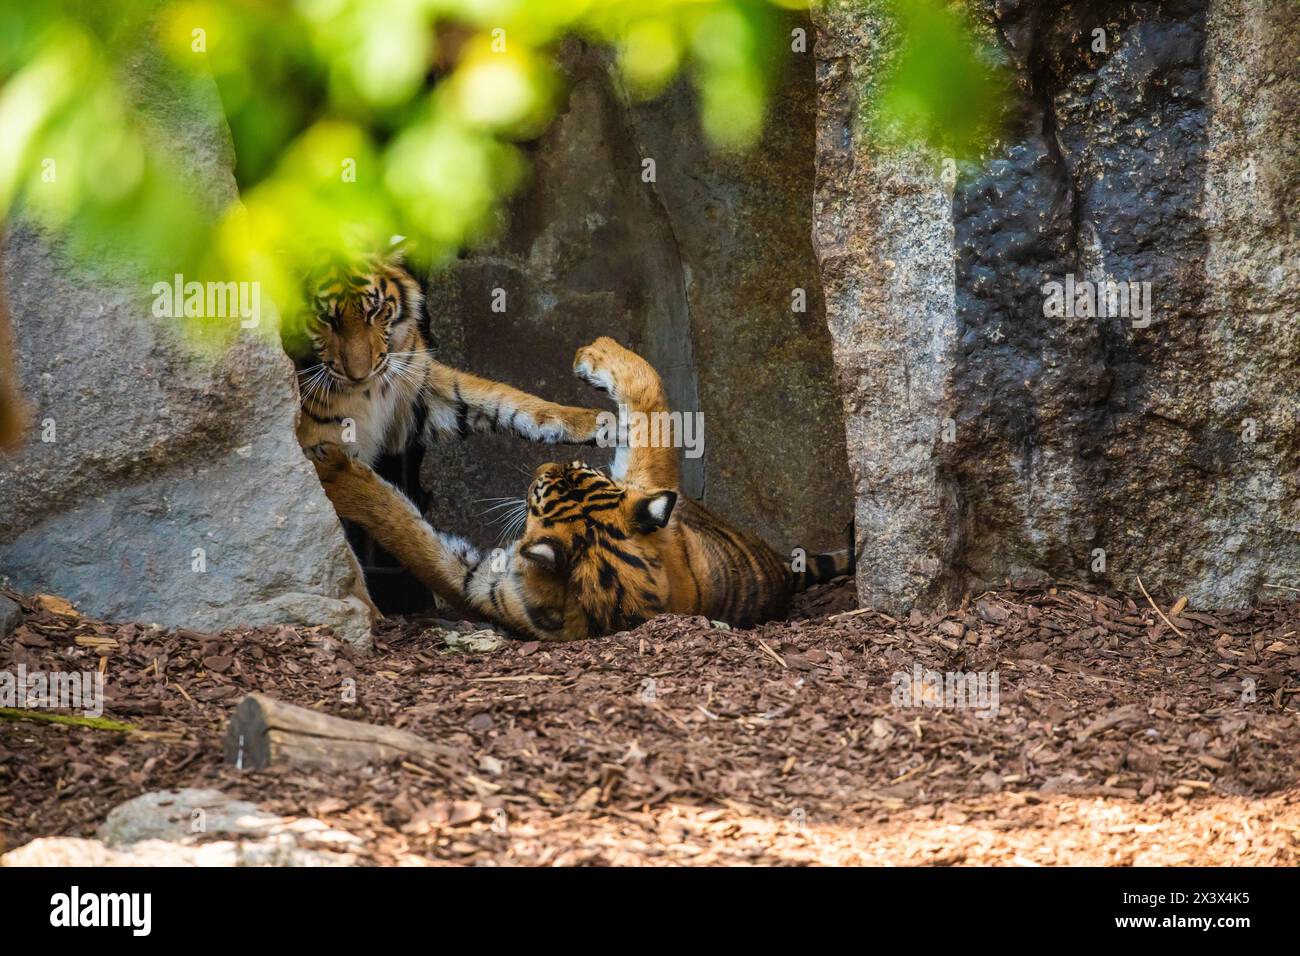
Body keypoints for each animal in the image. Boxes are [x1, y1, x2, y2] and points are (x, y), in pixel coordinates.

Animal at [287, 245, 602, 467]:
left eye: (373, 311)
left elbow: (499, 396)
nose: (360, 374)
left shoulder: (419, 389)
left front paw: (594, 420)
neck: (368, 391)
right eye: (325, 319)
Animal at [309, 336, 854, 640]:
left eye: (538, 493)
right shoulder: (646, 490)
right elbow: (651, 405)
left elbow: (406, 531)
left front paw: (332, 468)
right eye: (574, 472)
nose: (548, 461)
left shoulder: (478, 582)